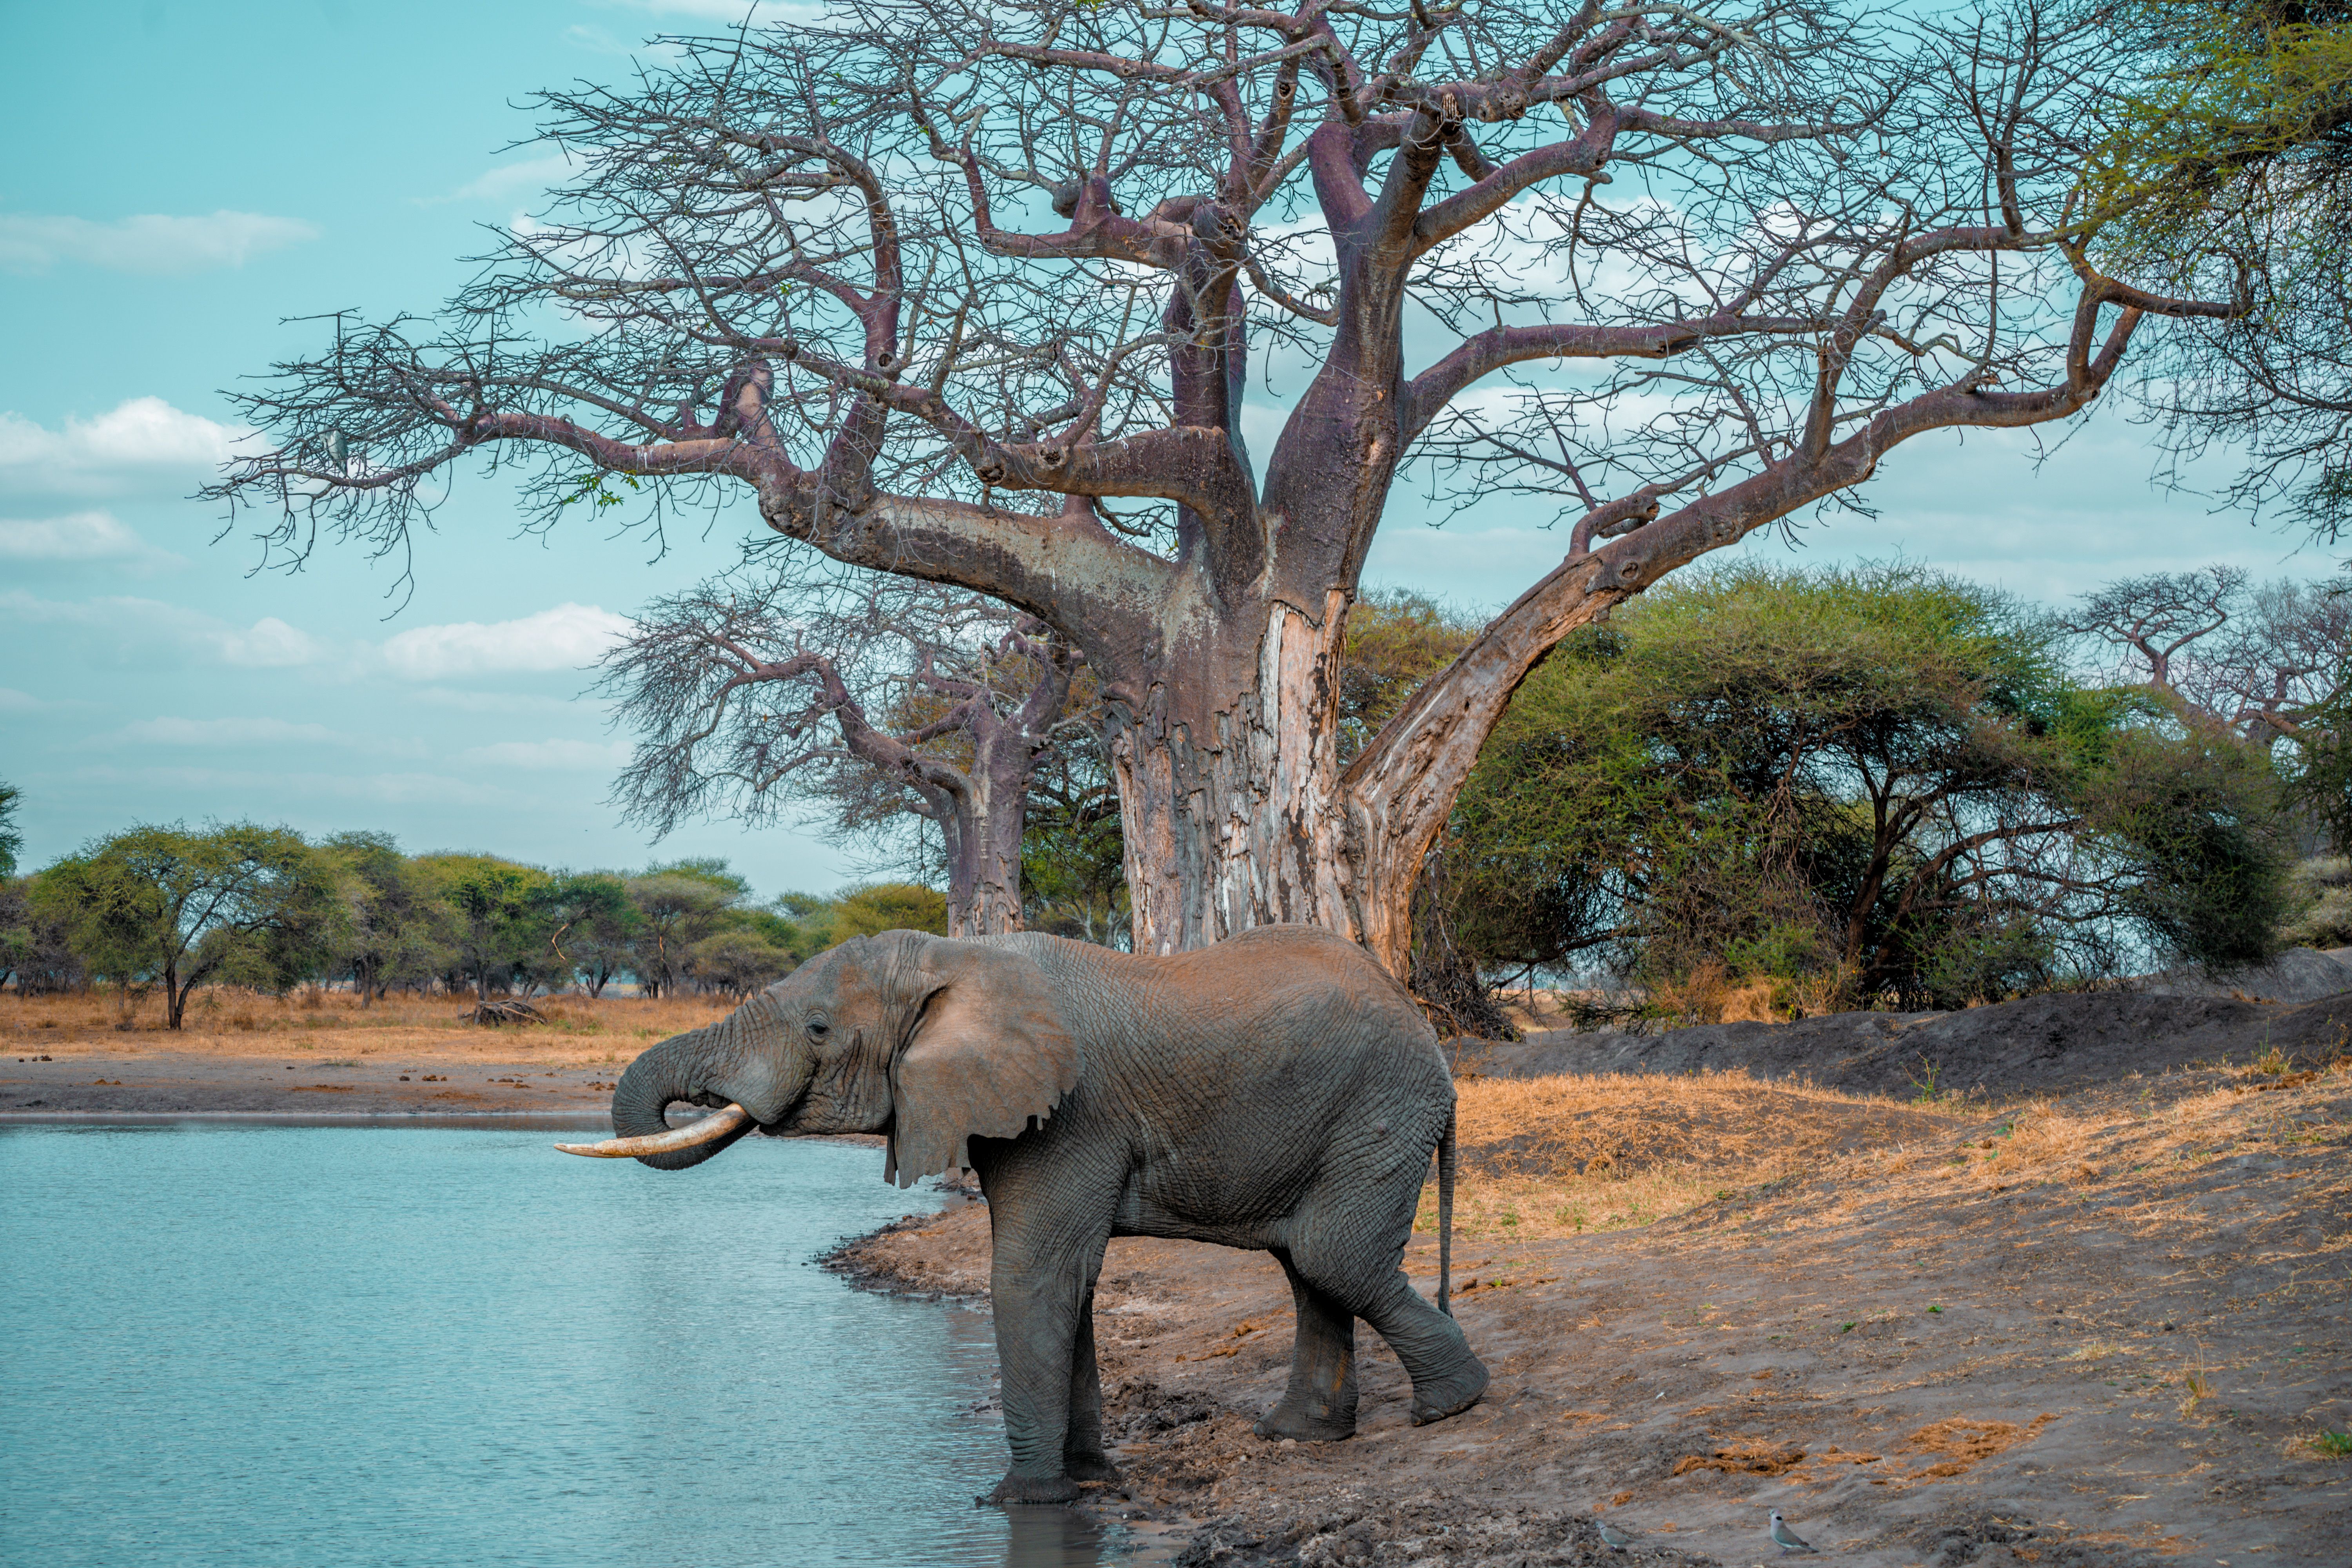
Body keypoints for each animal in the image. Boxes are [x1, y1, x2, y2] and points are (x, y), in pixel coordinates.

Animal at [557, 924, 1488, 1504]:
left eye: (819, 1028)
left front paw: (1019, 1501)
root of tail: (1422, 1021)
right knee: (1307, 1265)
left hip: (1379, 1109)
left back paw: (1453, 1409)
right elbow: (1068, 1283)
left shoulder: (1071, 1112)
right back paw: (1303, 1437)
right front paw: (1089, 1481)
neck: (958, 958)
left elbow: (1033, 1277)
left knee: (1333, 1257)